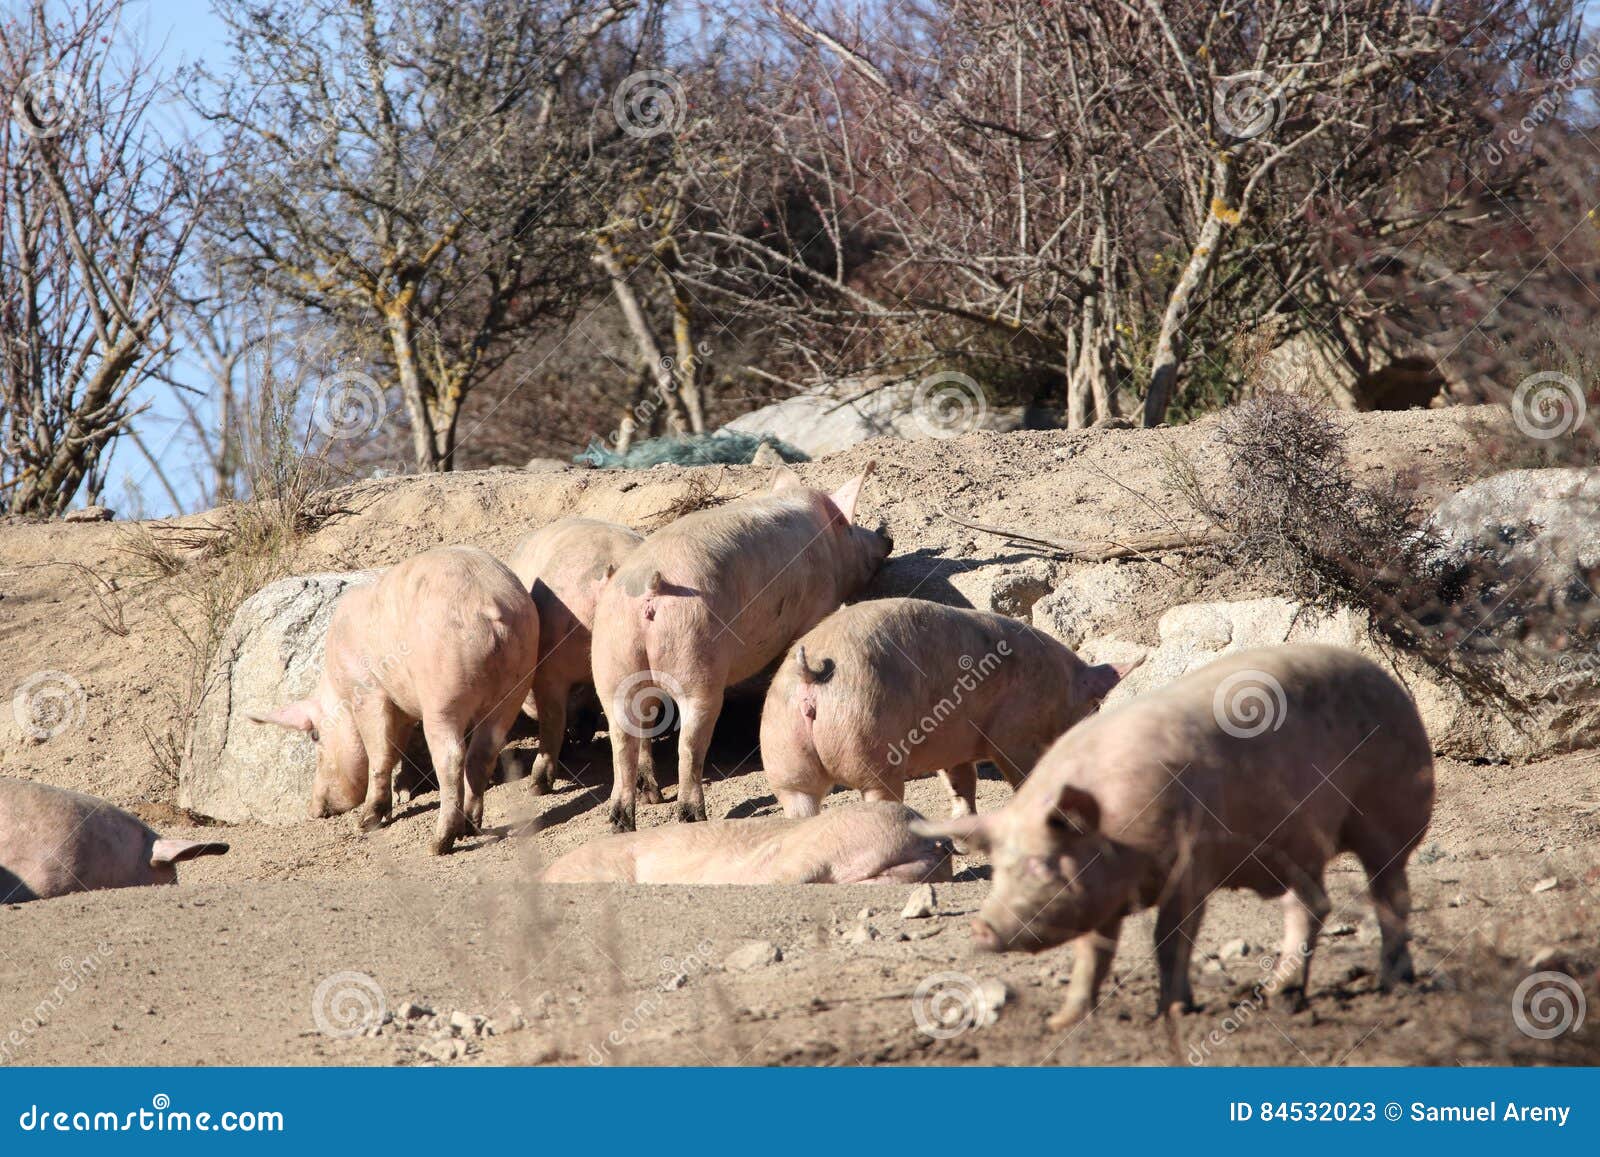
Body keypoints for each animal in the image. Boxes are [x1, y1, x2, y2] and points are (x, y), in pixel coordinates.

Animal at [249, 546, 539, 855]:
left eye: (315, 736)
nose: (313, 810)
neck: (338, 689)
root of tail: (489, 603)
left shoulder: (368, 690)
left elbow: (380, 752)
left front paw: (366, 823)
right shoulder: (402, 706)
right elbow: (396, 745)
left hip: (443, 688)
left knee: (451, 756)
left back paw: (438, 844)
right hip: (517, 678)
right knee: (483, 752)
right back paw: (469, 829)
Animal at [591, 463, 891, 832]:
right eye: (850, 526)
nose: (888, 538)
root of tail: (650, 587)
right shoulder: (816, 607)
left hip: (611, 658)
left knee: (624, 738)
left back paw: (632, 814)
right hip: (695, 656)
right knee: (688, 744)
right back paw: (692, 816)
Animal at [761, 598, 1129, 818]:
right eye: (1095, 707)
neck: (1059, 685)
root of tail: (812, 673)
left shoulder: (954, 745)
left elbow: (961, 781)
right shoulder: (1013, 734)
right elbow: (1020, 772)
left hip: (783, 751)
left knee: (800, 805)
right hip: (869, 739)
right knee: (880, 795)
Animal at [915, 645, 1434, 1029]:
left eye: (1043, 865)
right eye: (999, 868)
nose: (982, 927)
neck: (1118, 841)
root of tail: (1389, 681)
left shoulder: (1192, 868)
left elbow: (1170, 938)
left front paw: (1174, 1013)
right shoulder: (1102, 895)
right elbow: (1091, 954)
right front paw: (1063, 1023)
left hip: (1390, 818)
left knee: (1389, 894)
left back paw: (1390, 986)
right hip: (1299, 851)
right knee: (1312, 906)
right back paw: (1284, 998)